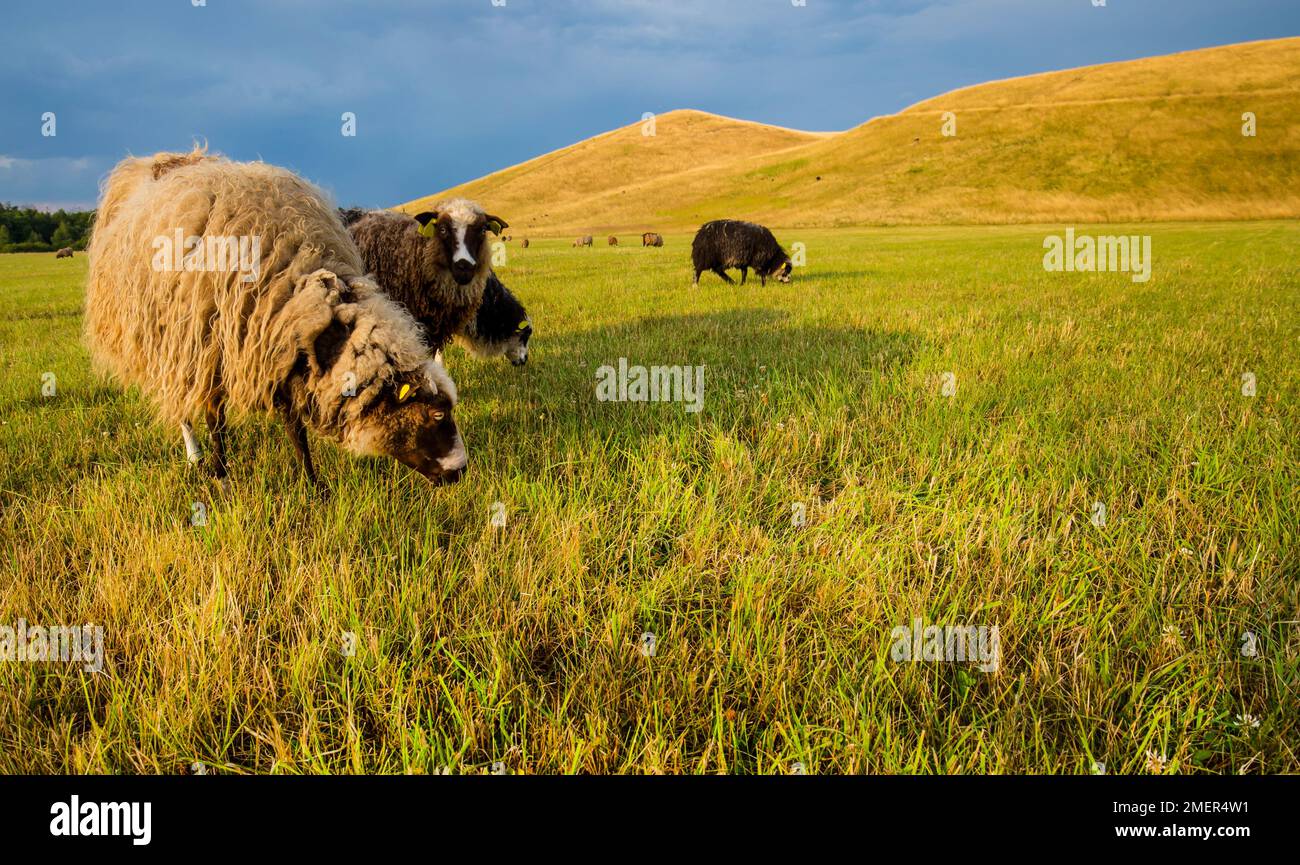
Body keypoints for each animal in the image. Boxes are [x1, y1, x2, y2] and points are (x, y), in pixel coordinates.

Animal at [84, 149, 468, 486]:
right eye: (436, 414)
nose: (461, 471)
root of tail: (161, 161)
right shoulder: (211, 346)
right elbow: (214, 417)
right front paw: (222, 476)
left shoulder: (281, 348)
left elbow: (295, 425)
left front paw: (313, 485)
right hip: (167, 341)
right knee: (181, 403)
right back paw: (195, 454)